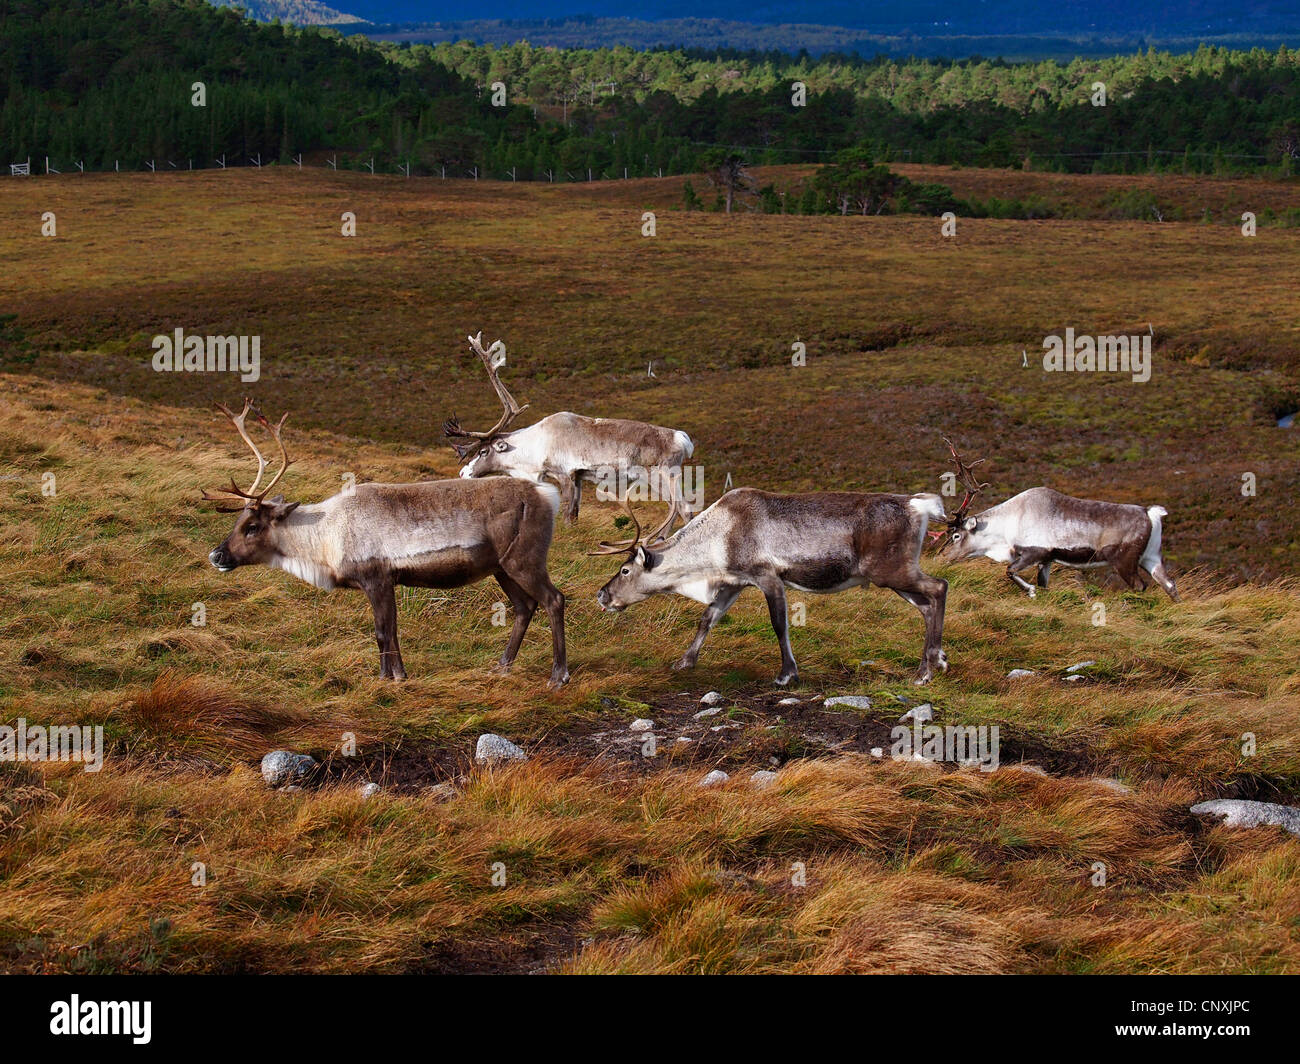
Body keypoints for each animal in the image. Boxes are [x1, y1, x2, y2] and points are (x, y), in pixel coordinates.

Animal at [203, 400, 570, 687]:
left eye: (252, 526)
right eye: (237, 522)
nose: (216, 555)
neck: (325, 537)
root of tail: (547, 494)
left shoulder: (376, 577)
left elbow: (382, 632)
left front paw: (386, 678)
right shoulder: (388, 581)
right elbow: (391, 630)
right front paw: (399, 676)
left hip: (525, 560)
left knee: (553, 600)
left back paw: (558, 676)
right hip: (501, 567)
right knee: (525, 607)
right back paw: (501, 666)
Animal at [444, 332, 697, 545]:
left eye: (483, 451)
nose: (463, 473)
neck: (533, 447)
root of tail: (682, 438)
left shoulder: (563, 473)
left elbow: (565, 511)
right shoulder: (578, 476)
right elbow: (575, 512)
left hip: (662, 473)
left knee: (683, 508)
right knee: (674, 508)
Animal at [593, 487, 950, 686]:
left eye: (625, 569)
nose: (602, 594)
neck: (715, 541)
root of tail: (920, 505)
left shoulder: (767, 577)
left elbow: (779, 624)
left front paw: (786, 674)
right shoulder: (733, 582)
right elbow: (707, 618)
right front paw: (684, 662)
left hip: (891, 570)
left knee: (939, 587)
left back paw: (931, 667)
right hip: (895, 575)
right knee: (927, 605)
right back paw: (927, 668)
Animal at [936, 438, 1179, 601]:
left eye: (956, 535)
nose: (941, 557)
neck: (1007, 524)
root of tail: (1151, 513)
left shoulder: (1034, 552)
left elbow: (1010, 571)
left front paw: (1030, 591)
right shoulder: (1047, 559)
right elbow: (1043, 584)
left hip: (1124, 560)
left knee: (1140, 586)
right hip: (1151, 556)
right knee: (1169, 584)